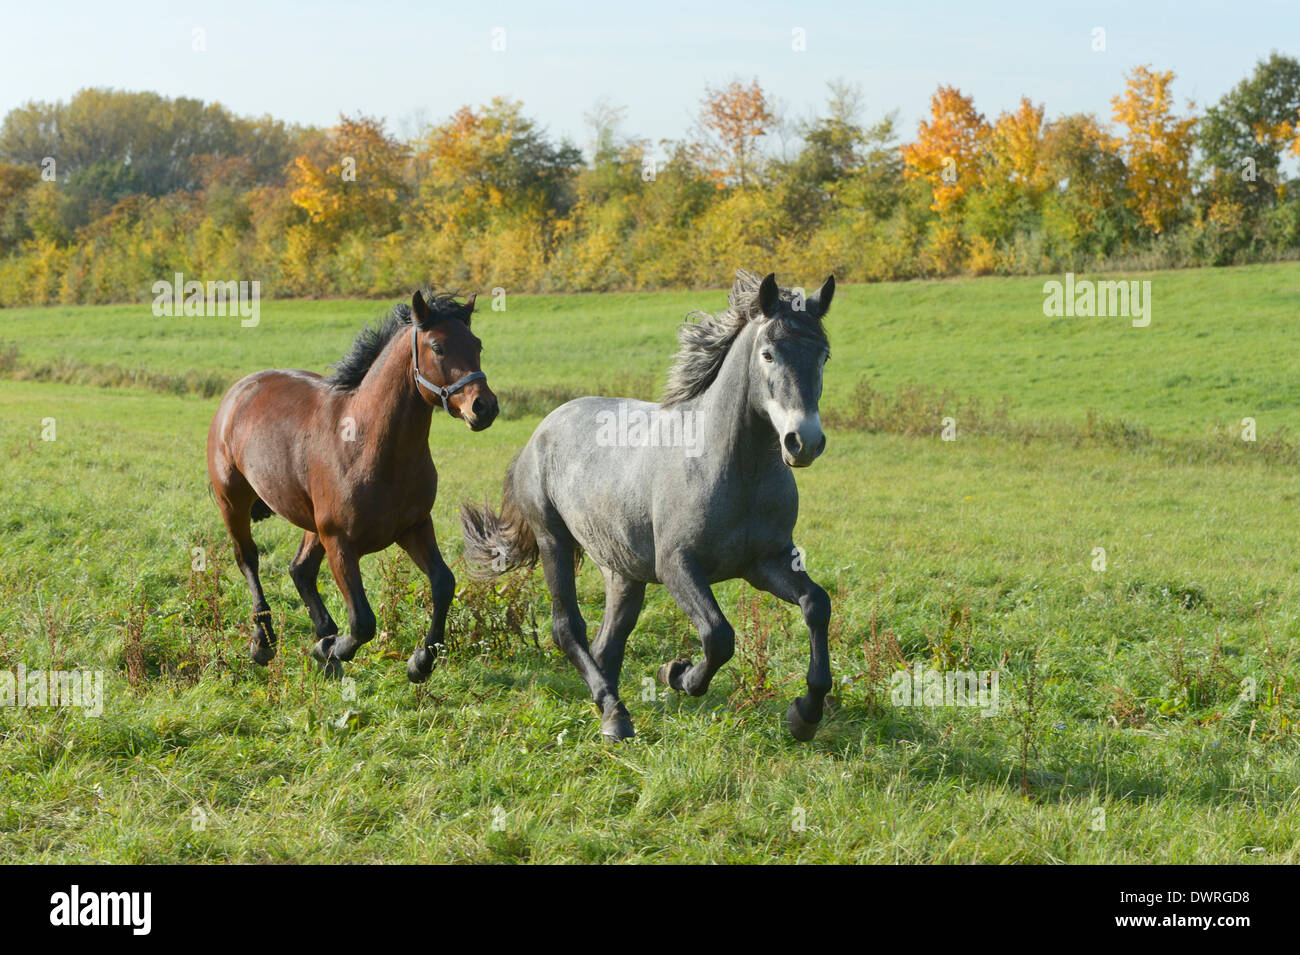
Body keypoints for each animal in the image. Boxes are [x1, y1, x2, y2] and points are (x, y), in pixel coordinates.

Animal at [207, 288, 498, 680]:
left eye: (476, 344)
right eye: (438, 346)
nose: (484, 407)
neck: (369, 446)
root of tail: (239, 391)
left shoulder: (415, 527)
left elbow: (443, 583)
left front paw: (420, 662)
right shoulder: (340, 543)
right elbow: (363, 622)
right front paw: (330, 649)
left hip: (311, 520)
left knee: (300, 570)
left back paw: (324, 635)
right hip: (234, 502)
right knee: (248, 559)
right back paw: (264, 641)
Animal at [461, 270, 834, 742]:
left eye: (823, 356)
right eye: (768, 354)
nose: (803, 442)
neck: (733, 468)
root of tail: (541, 431)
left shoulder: (765, 562)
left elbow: (816, 605)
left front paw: (805, 713)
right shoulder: (676, 565)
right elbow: (718, 635)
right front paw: (677, 674)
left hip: (623, 572)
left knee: (607, 642)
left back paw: (608, 706)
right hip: (554, 543)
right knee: (568, 629)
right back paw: (616, 716)